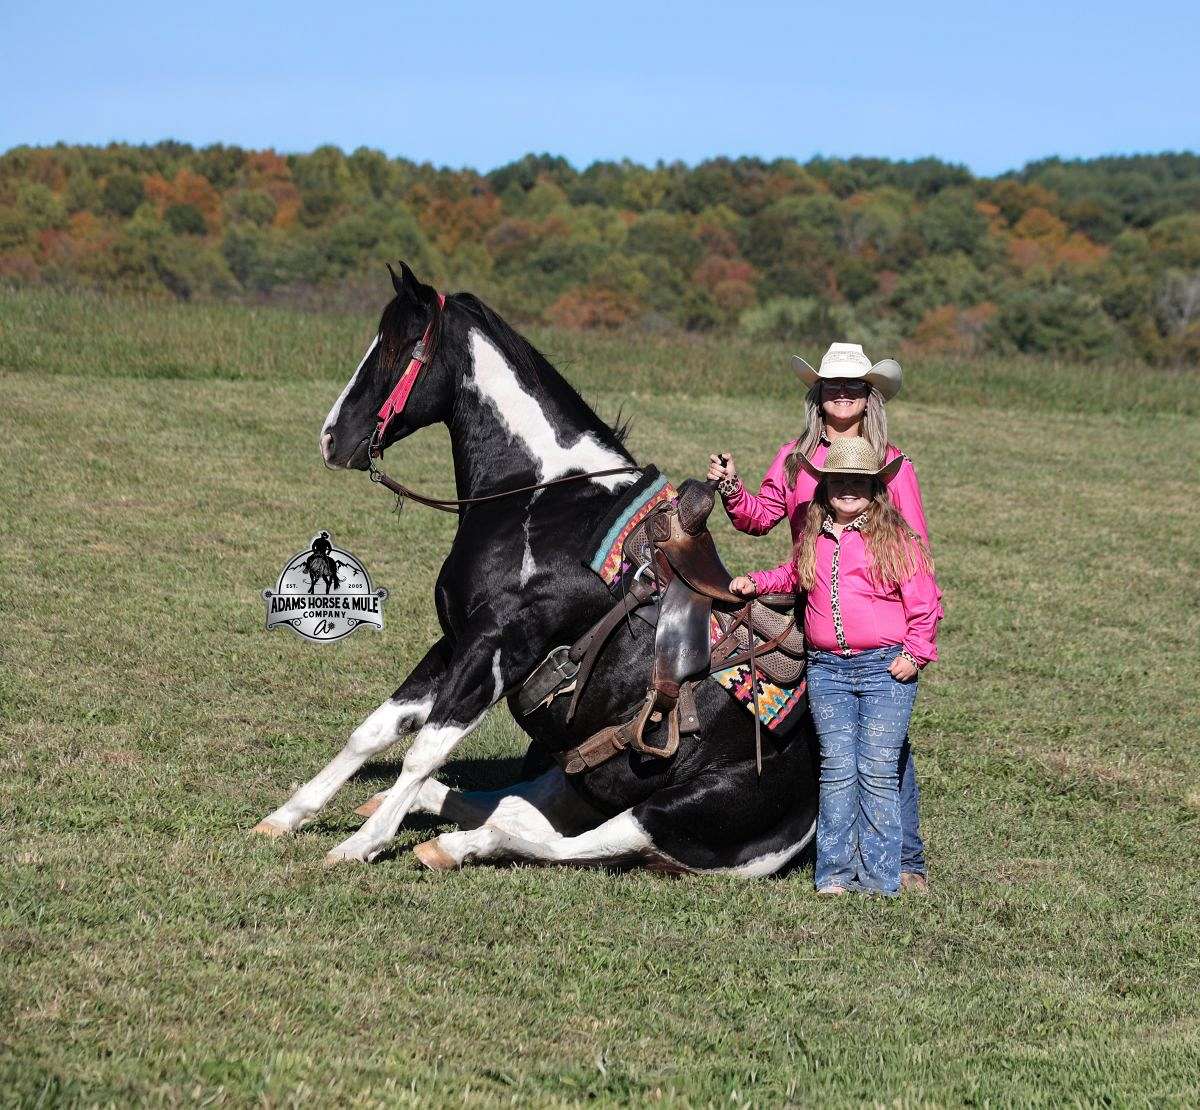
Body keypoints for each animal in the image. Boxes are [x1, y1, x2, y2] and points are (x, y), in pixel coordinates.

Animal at [251, 262, 818, 873]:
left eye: (397, 349)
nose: (332, 439)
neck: (542, 499)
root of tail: (815, 814)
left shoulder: (499, 647)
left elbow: (424, 749)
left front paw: (361, 845)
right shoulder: (456, 641)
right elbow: (378, 730)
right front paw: (286, 817)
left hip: (662, 816)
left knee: (559, 844)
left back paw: (450, 845)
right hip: (577, 780)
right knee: (515, 809)